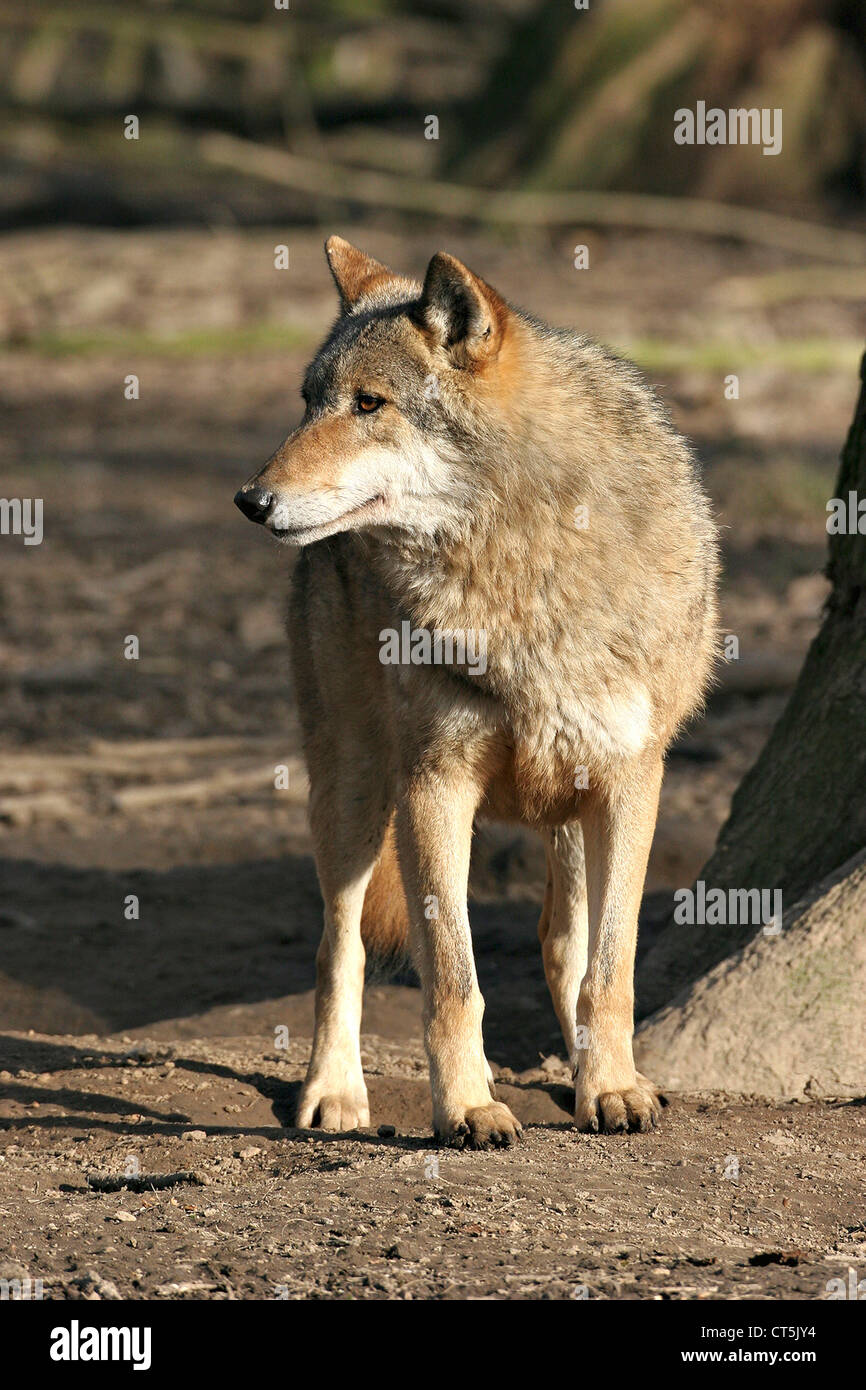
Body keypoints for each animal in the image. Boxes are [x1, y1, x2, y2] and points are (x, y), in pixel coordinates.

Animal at [235, 237, 718, 1148]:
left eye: (370, 404)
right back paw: (334, 1093)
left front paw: (613, 1088)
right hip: (354, 791)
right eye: (310, 402)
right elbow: (454, 980)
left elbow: (611, 969)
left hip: (567, 804)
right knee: (340, 946)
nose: (251, 499)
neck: (520, 566)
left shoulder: (633, 781)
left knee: (561, 943)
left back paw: (585, 1075)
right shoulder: (436, 783)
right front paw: (465, 1108)